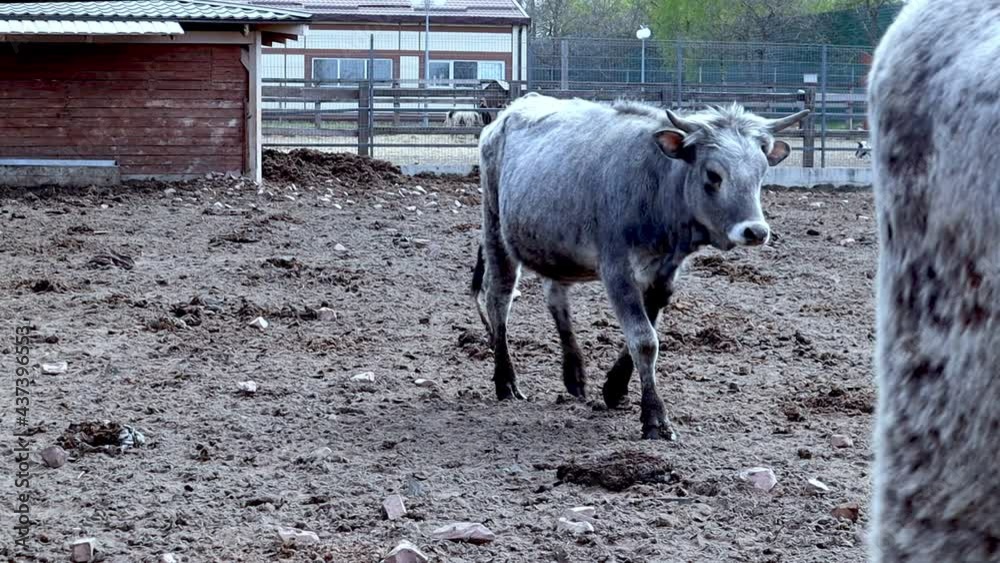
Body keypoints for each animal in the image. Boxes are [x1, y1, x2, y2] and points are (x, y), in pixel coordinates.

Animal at [470, 93, 808, 439]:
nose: (755, 231)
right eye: (713, 175)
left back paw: (574, 373)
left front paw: (615, 387)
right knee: (499, 300)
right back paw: (506, 380)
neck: (656, 186)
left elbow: (649, 327)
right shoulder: (617, 269)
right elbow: (644, 339)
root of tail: (512, 110)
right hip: (495, 229)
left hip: (559, 250)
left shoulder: (664, 274)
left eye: (761, 172)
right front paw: (655, 417)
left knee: (556, 297)